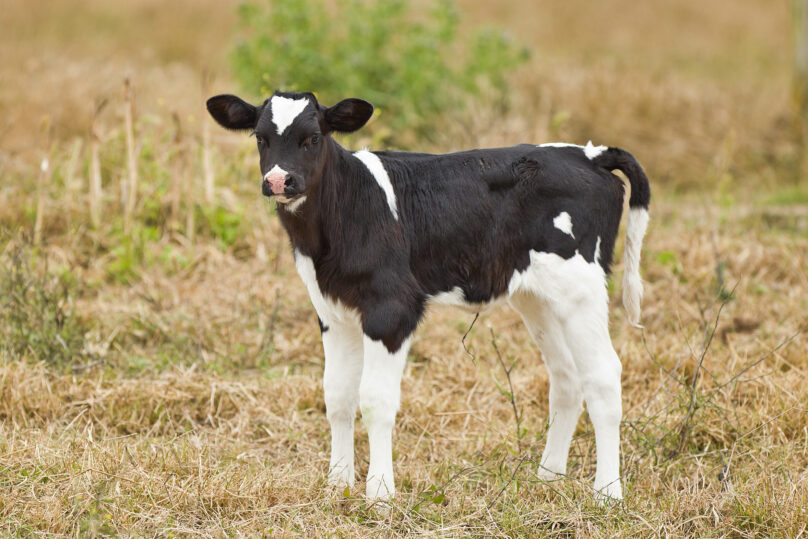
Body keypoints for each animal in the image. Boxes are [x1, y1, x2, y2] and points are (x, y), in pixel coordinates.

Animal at [206, 90, 650, 502]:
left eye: (313, 137)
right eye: (260, 137)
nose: (278, 181)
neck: (345, 212)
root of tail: (589, 154)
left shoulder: (391, 309)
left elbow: (375, 400)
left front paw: (380, 494)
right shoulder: (333, 311)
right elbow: (337, 396)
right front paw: (337, 484)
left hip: (581, 286)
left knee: (603, 376)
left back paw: (607, 493)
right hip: (538, 297)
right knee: (566, 377)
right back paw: (548, 477)